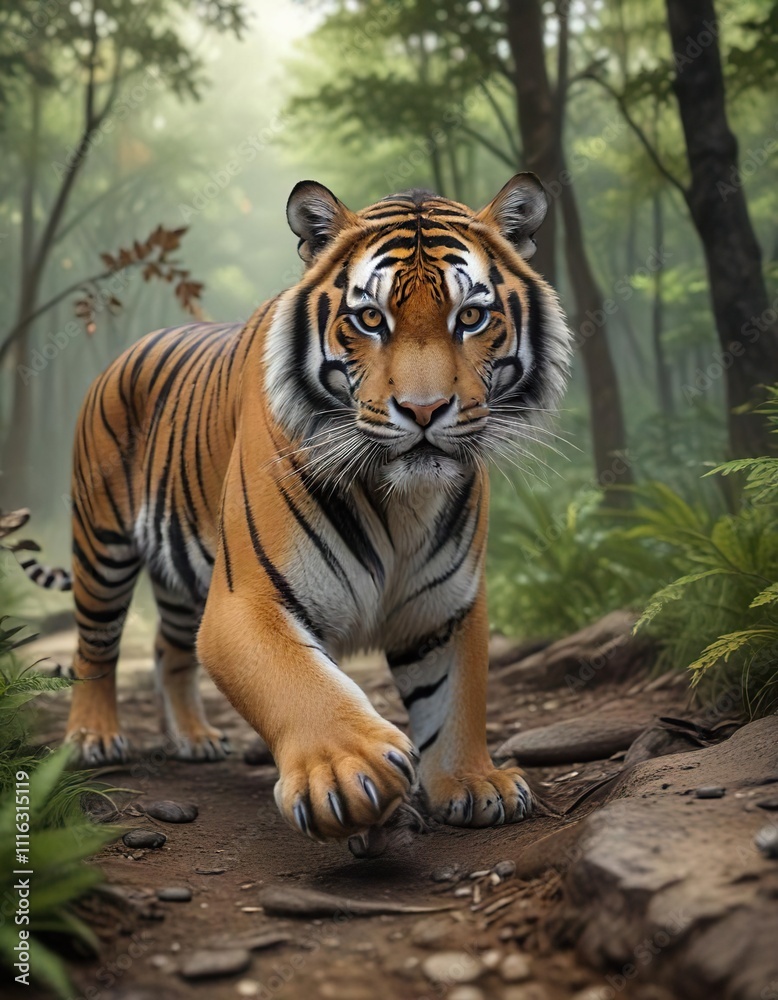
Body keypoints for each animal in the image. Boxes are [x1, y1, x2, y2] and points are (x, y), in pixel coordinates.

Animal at [15, 173, 571, 840]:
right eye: (369, 318)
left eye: (471, 316)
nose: (425, 410)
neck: (402, 500)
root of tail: (129, 348)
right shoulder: (246, 600)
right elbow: (297, 680)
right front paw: (346, 770)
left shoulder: (444, 605)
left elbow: (456, 696)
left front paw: (473, 781)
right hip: (102, 546)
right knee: (95, 645)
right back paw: (95, 738)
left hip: (182, 573)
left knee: (169, 649)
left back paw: (196, 740)